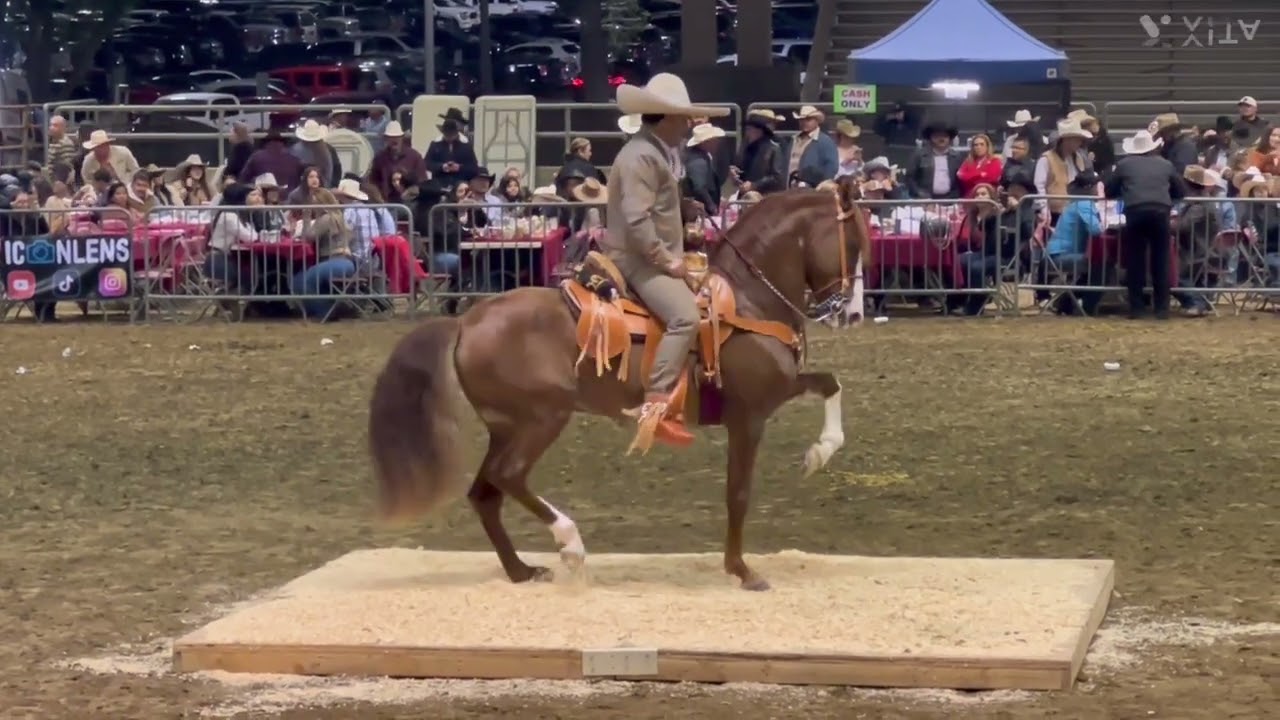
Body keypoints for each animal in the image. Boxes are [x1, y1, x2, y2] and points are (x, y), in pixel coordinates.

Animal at [368, 176, 871, 591]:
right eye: (853, 241)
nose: (848, 309)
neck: (746, 300)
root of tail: (466, 322)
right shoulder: (749, 415)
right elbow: (739, 494)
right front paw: (742, 571)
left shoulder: (779, 391)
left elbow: (830, 384)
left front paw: (820, 452)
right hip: (541, 419)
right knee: (508, 477)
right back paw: (570, 544)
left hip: (506, 426)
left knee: (486, 493)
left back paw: (521, 571)